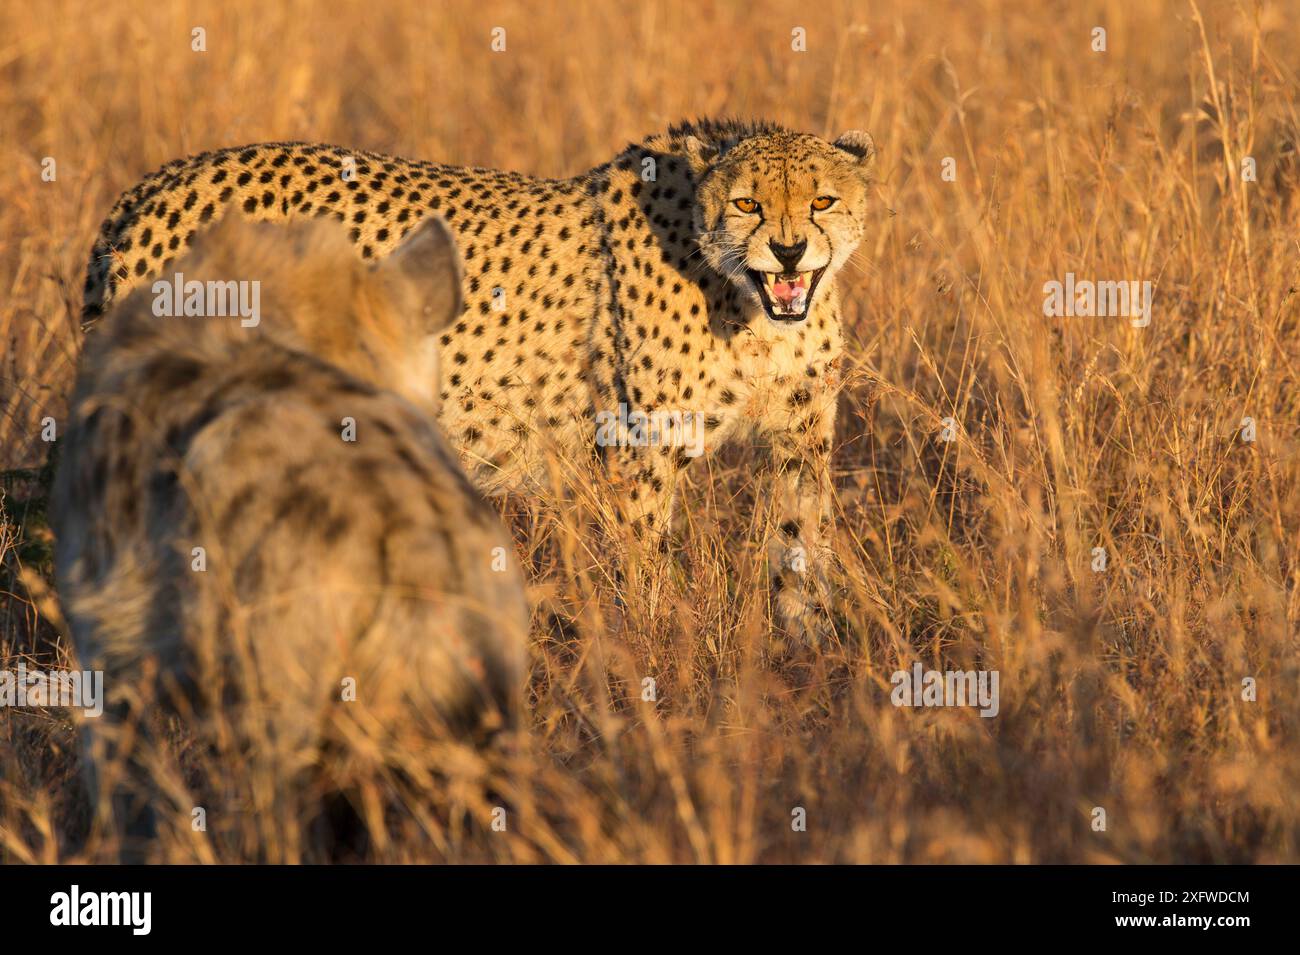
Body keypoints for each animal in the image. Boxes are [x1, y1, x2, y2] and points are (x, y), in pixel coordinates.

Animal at [82, 118, 878, 638]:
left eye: (822, 200)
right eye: (746, 202)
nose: (788, 250)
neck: (752, 307)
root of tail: (151, 187)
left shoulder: (802, 432)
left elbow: (801, 538)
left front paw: (810, 646)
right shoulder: (640, 449)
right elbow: (646, 564)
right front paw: (660, 657)